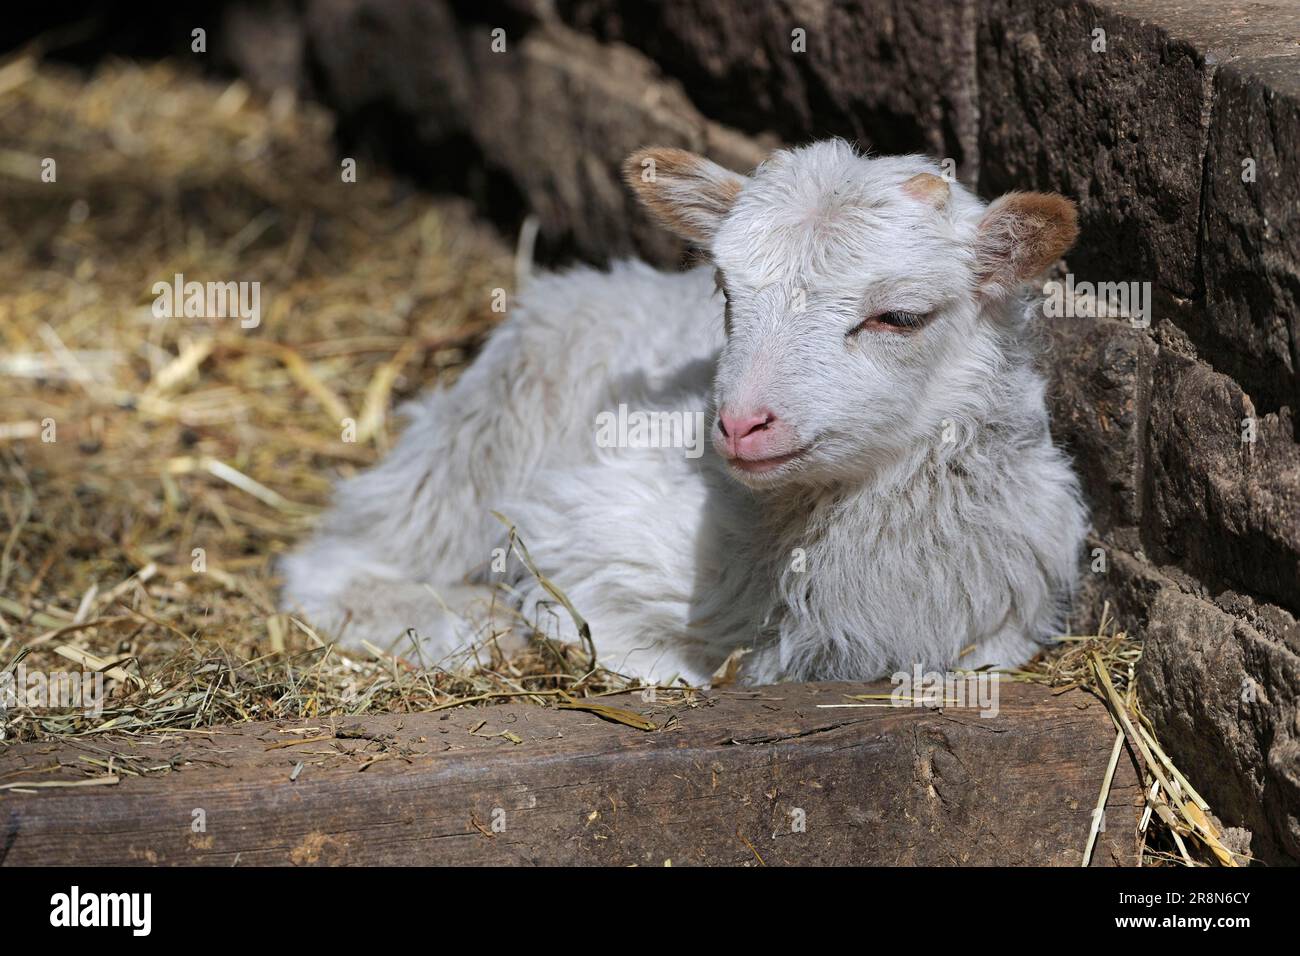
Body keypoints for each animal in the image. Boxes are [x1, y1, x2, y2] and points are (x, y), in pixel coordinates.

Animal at [280, 139, 1088, 686]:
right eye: (727, 294)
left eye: (901, 317)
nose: (739, 424)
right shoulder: (589, 528)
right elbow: (632, 646)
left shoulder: (999, 630)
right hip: (487, 431)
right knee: (337, 558)